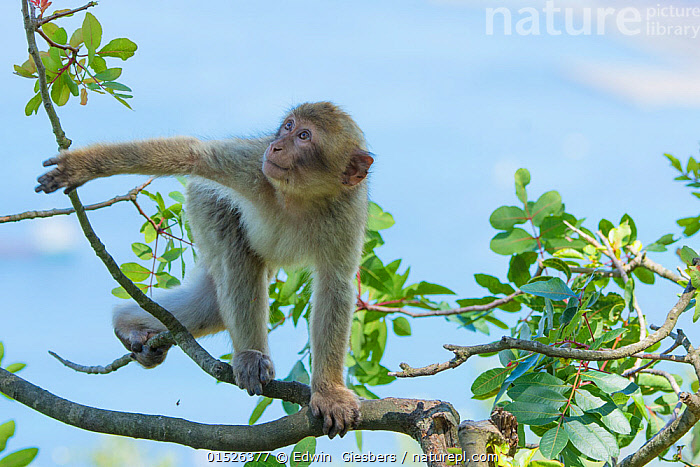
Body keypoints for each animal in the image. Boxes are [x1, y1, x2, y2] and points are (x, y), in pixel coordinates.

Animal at [35, 102, 374, 439]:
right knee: (235, 254)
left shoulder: (347, 211)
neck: (299, 196)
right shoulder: (252, 166)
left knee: (210, 305)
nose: (276, 145)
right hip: (204, 202)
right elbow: (191, 154)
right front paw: (82, 166)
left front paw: (329, 392)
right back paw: (248, 355)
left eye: (304, 136)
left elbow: (335, 285)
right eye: (288, 127)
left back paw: (129, 324)